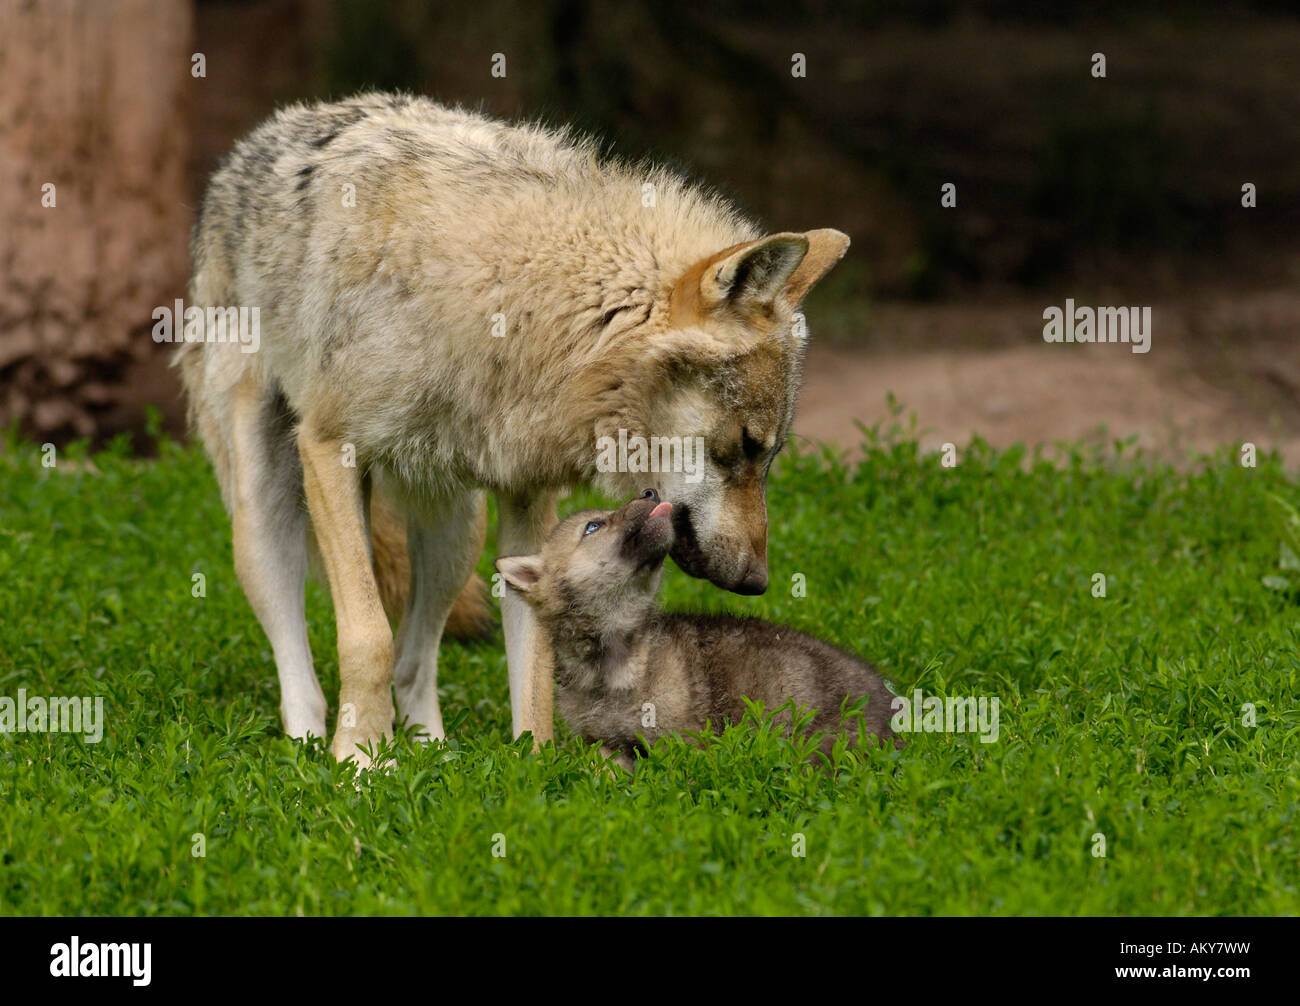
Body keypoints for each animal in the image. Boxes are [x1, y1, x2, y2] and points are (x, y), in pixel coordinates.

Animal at [177, 93, 849, 764]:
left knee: (416, 659)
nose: (757, 582)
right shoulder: (329, 449)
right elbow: (366, 636)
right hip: (267, 513)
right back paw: (312, 744)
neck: (510, 302)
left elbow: (532, 664)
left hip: (455, 530)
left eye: (767, 457)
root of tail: (276, 127)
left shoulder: (527, 501)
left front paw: (535, 766)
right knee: (306, 652)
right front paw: (362, 762)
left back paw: (431, 750)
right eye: (744, 447)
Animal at [495, 491, 900, 769]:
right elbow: (603, 764)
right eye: (593, 527)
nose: (650, 491)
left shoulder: (680, 743)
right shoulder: (602, 741)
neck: (616, 660)